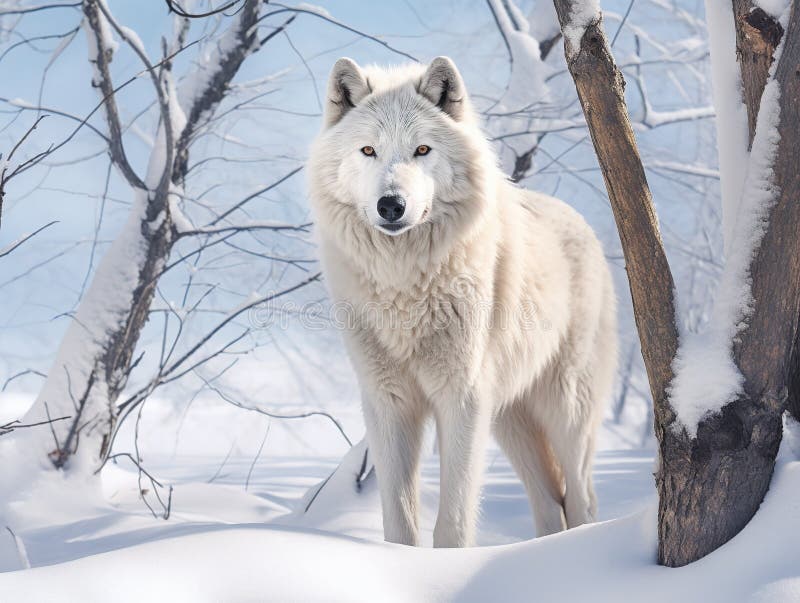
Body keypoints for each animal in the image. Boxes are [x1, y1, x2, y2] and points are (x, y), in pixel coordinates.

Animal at [307, 56, 617, 547]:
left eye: (422, 150)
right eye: (368, 151)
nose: (391, 205)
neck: (404, 285)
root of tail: (581, 222)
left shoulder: (462, 398)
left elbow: (452, 519)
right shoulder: (388, 402)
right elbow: (399, 518)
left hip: (565, 409)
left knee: (582, 499)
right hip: (509, 419)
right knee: (551, 503)